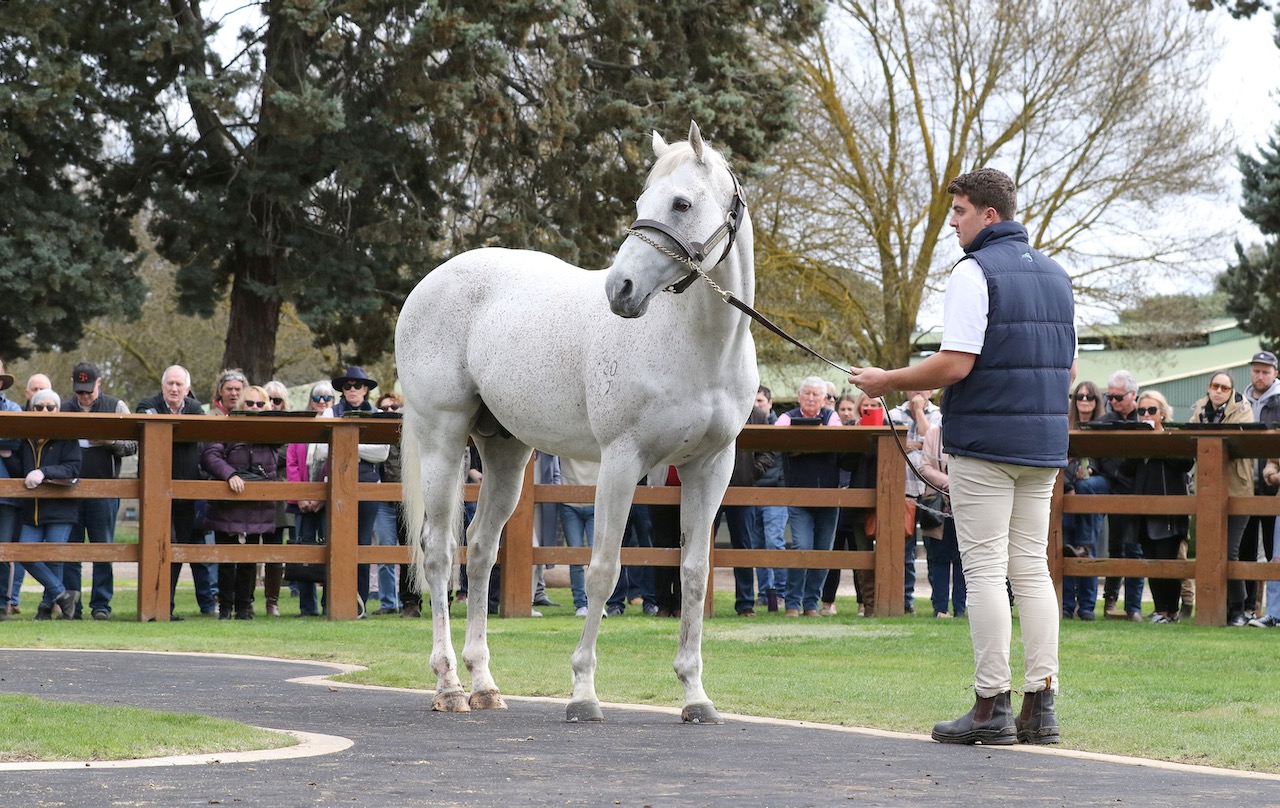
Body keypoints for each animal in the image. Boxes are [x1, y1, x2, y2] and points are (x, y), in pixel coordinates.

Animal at [396, 122, 757, 724]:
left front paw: (695, 695)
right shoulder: (621, 461)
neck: (696, 344)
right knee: (440, 551)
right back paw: (448, 685)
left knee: (481, 548)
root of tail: (433, 281)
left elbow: (694, 573)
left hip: (506, 453)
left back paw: (483, 682)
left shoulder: (711, 466)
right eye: (640, 202)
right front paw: (583, 693)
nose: (621, 290)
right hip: (442, 439)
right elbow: (604, 569)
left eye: (681, 204)